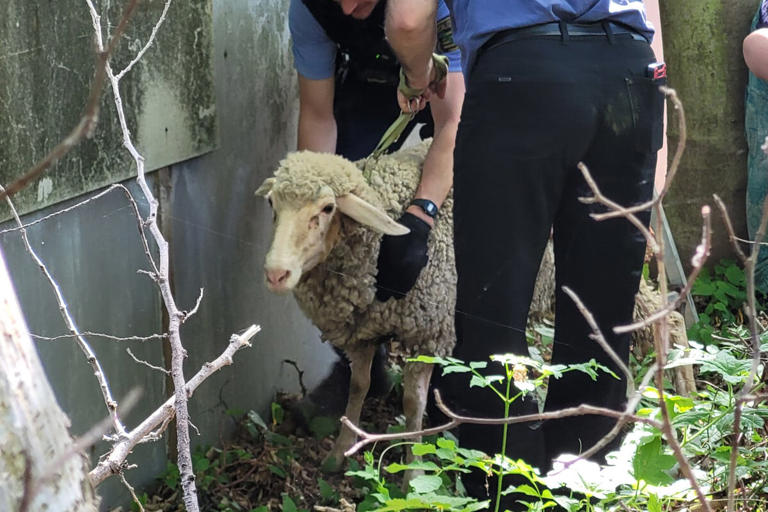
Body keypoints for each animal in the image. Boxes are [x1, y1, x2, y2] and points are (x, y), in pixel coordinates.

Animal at [255, 139, 456, 471]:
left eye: (327, 208)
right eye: (272, 204)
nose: (276, 274)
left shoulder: (428, 333)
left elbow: (413, 402)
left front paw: (413, 470)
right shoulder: (361, 334)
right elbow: (359, 385)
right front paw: (339, 453)